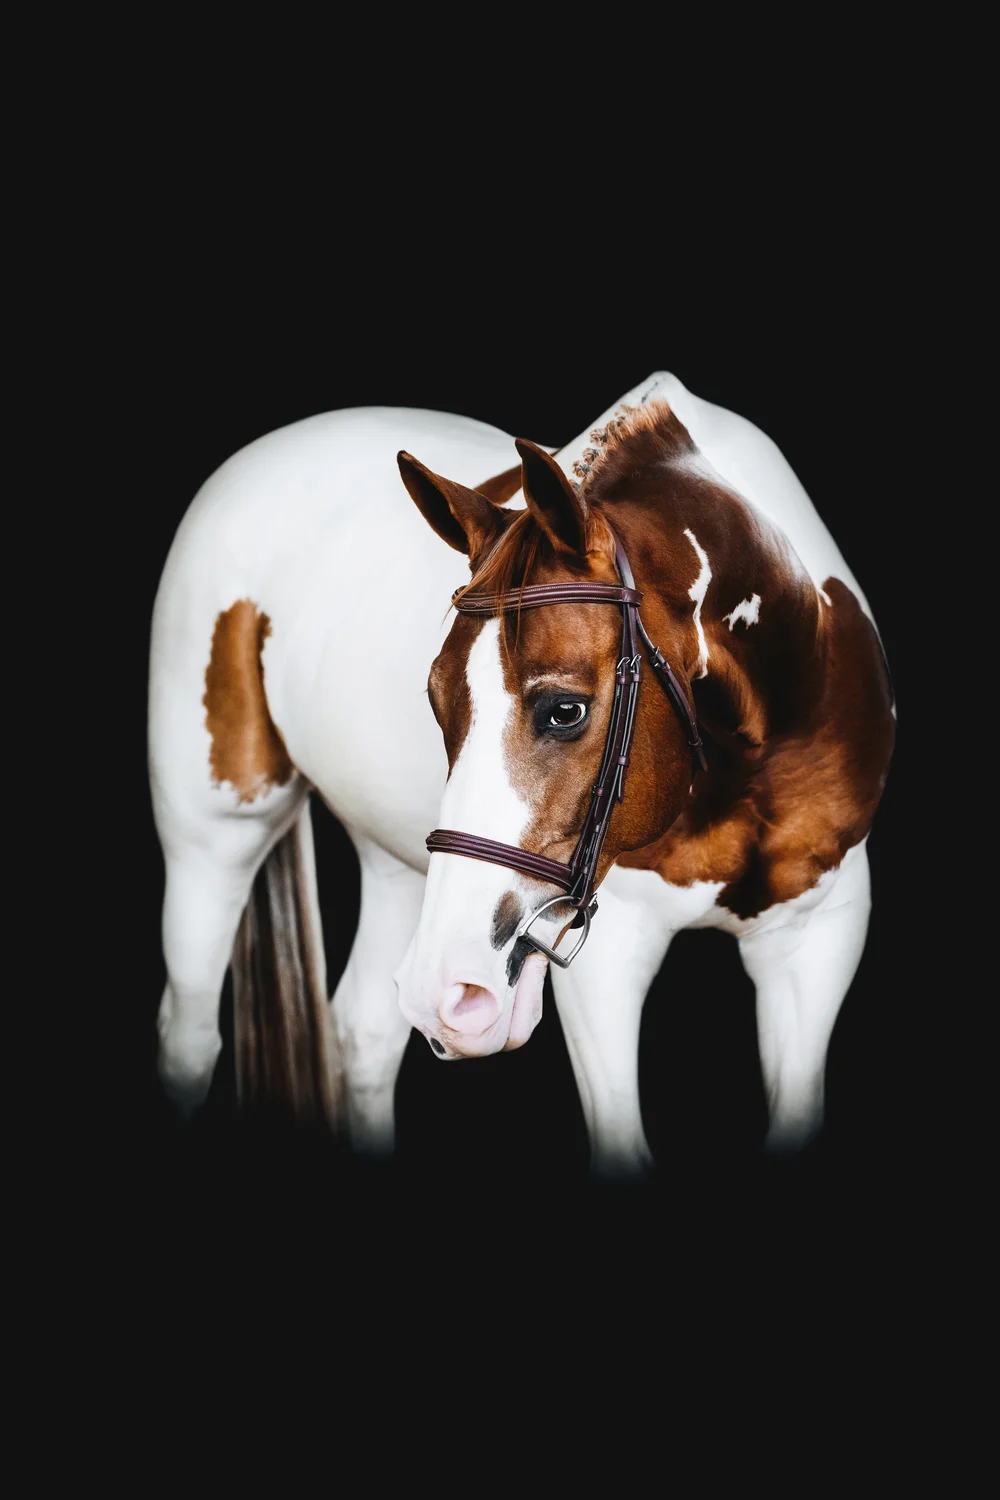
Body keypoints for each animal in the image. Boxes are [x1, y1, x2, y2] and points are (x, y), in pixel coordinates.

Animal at [148, 371, 894, 1175]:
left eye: (565, 710)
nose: (454, 993)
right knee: (190, 1036)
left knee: (365, 1033)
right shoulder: (607, 958)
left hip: (400, 872)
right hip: (214, 845)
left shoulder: (816, 941)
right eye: (436, 699)